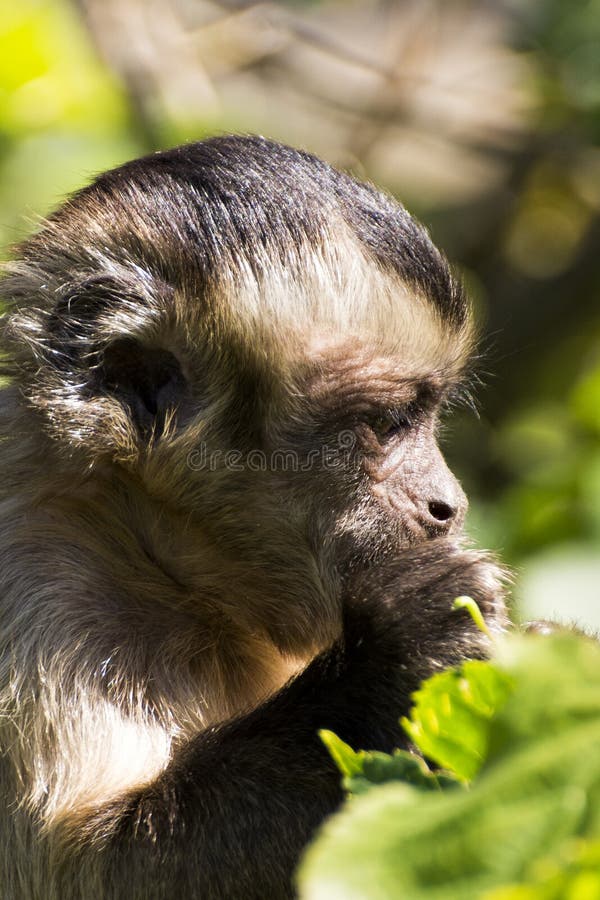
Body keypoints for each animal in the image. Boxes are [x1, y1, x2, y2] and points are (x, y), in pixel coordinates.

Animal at [0, 135, 507, 899]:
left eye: (430, 415)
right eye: (388, 422)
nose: (449, 504)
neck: (153, 560)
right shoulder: (37, 578)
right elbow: (80, 869)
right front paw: (402, 650)